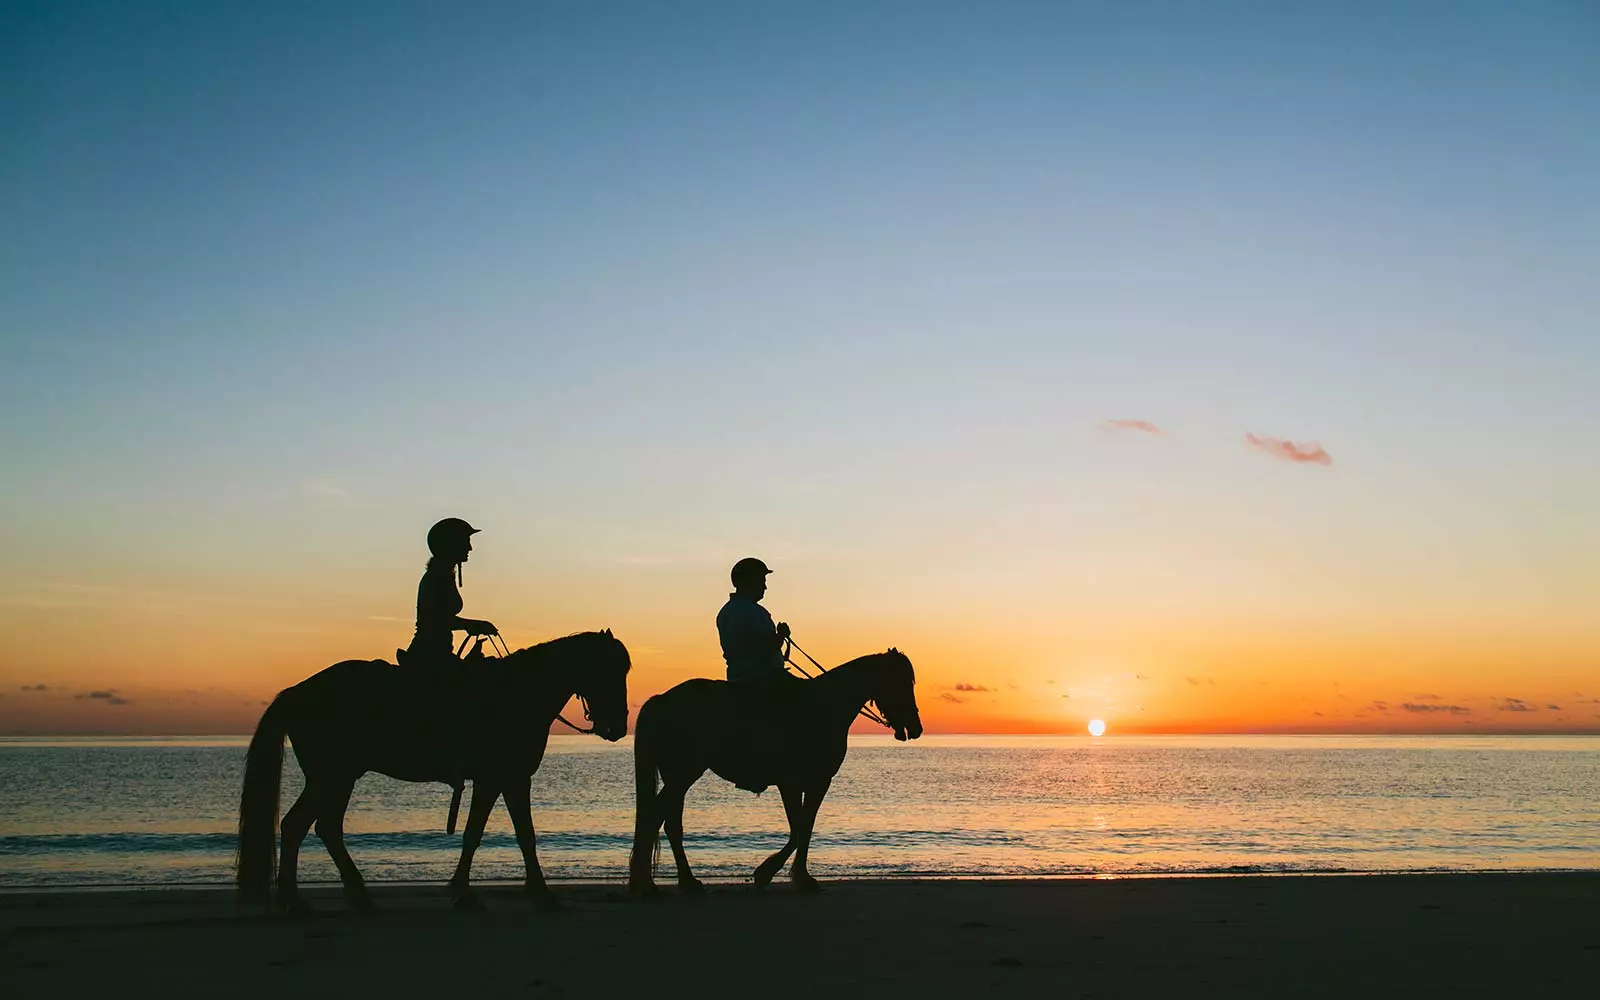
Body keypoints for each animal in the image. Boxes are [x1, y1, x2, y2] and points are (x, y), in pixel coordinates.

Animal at [233, 630, 627, 915]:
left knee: (324, 828)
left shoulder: (501, 779)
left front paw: (472, 891)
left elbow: (491, 834)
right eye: (610, 670)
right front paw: (533, 894)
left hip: (339, 778)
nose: (618, 727)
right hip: (331, 777)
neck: (518, 694)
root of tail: (296, 692)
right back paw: (295, 899)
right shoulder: (505, 778)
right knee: (296, 825)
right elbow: (507, 834)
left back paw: (355, 894)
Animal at [627, 652, 921, 896]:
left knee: (669, 823)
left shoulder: (807, 783)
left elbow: (804, 828)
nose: (916, 728)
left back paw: (683, 882)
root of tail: (661, 700)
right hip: (683, 773)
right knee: (655, 816)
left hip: (677, 775)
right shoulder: (800, 782)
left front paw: (795, 877)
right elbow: (800, 829)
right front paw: (772, 874)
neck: (823, 706)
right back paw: (647, 883)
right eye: (901, 683)